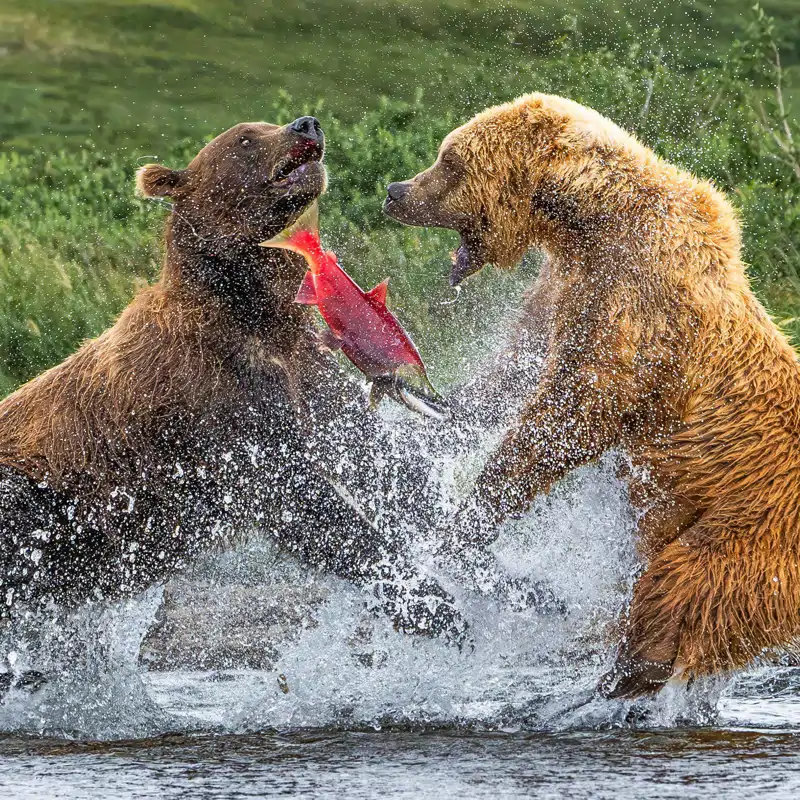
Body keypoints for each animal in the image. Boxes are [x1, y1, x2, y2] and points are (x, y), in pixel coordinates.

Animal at [0, 116, 467, 683]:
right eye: (244, 138)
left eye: (268, 124)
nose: (306, 123)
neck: (252, 314)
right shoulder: (219, 407)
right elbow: (313, 510)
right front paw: (439, 610)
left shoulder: (308, 376)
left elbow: (387, 466)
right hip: (32, 501)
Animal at [384, 92, 800, 697]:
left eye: (449, 160)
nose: (395, 191)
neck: (591, 220)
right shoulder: (570, 286)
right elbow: (516, 368)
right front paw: (426, 396)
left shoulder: (636, 298)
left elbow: (575, 412)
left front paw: (465, 524)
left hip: (748, 533)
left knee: (681, 591)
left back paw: (617, 673)